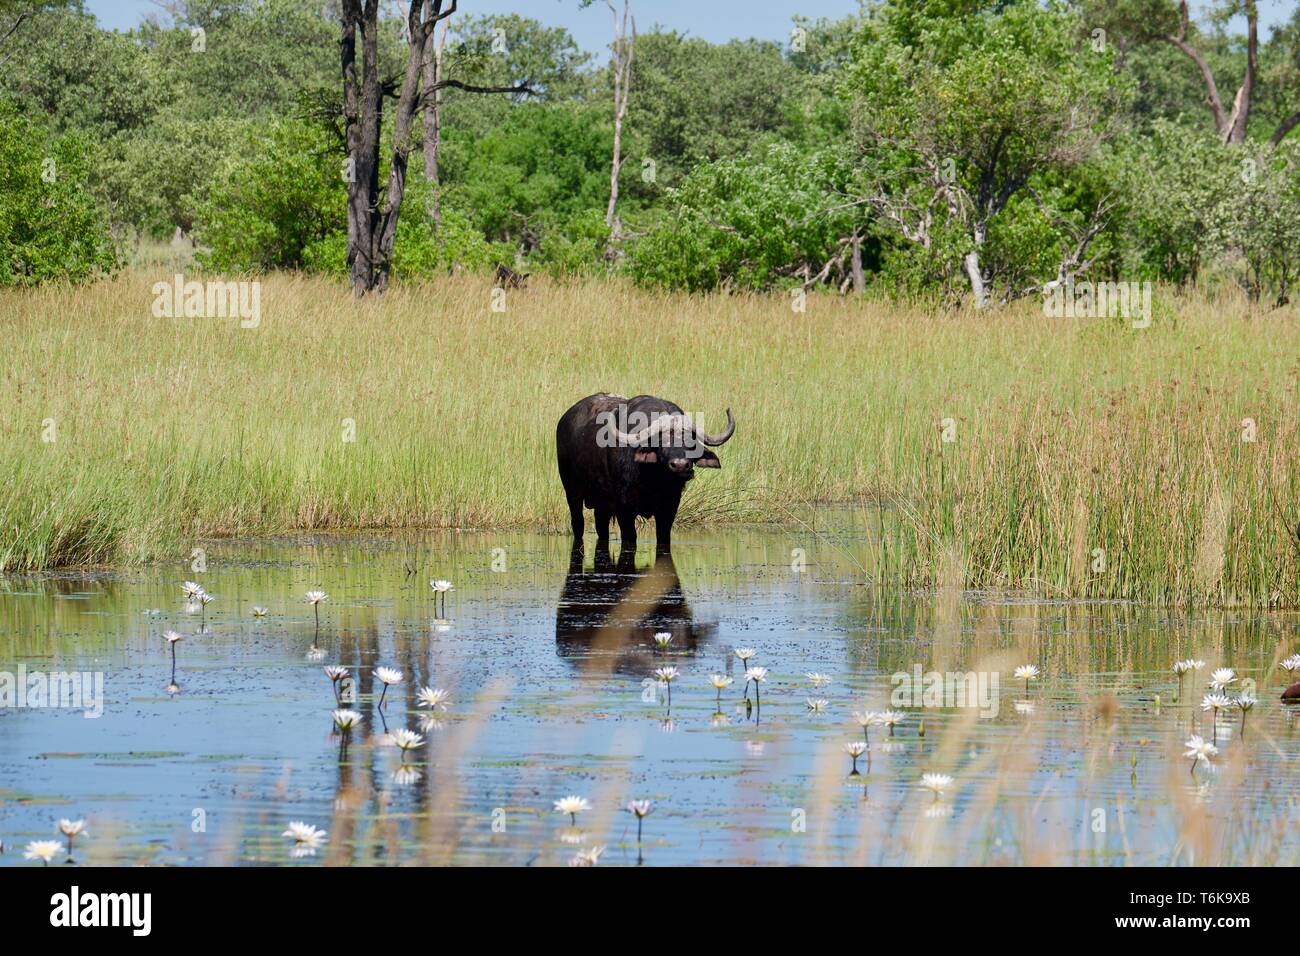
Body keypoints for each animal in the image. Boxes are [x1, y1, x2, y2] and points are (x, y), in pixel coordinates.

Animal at [556, 393, 735, 550]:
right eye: (661, 441)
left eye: (691, 442)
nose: (680, 465)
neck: (652, 480)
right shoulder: (624, 509)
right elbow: (630, 538)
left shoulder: (669, 508)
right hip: (572, 492)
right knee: (578, 524)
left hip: (603, 503)